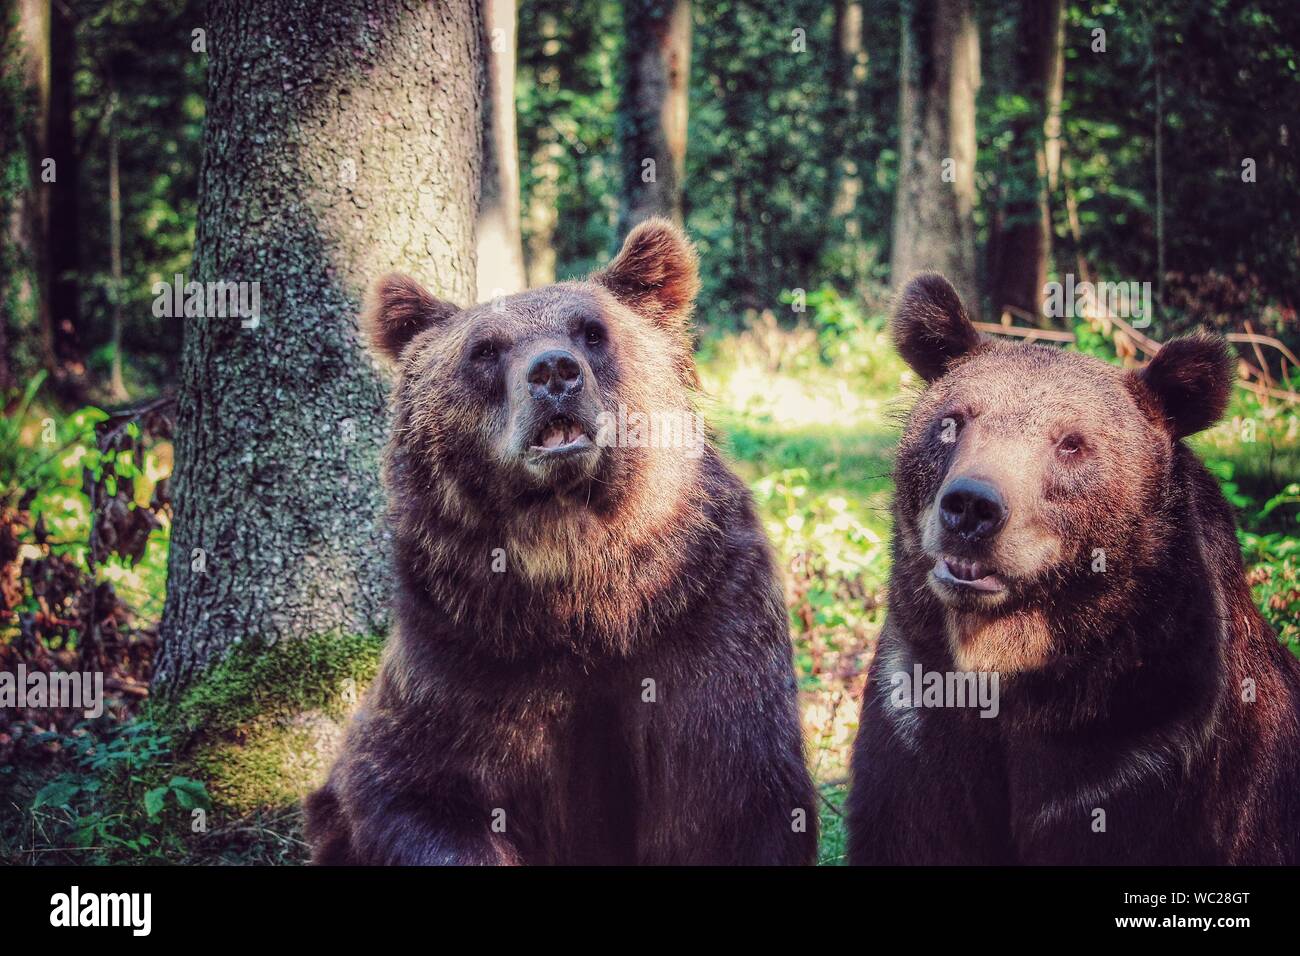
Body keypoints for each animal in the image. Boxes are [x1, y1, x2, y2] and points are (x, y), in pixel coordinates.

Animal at [303, 219, 816, 865]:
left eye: (592, 331)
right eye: (485, 349)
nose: (553, 372)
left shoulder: (704, 616)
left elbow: (732, 795)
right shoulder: (457, 645)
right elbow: (410, 787)